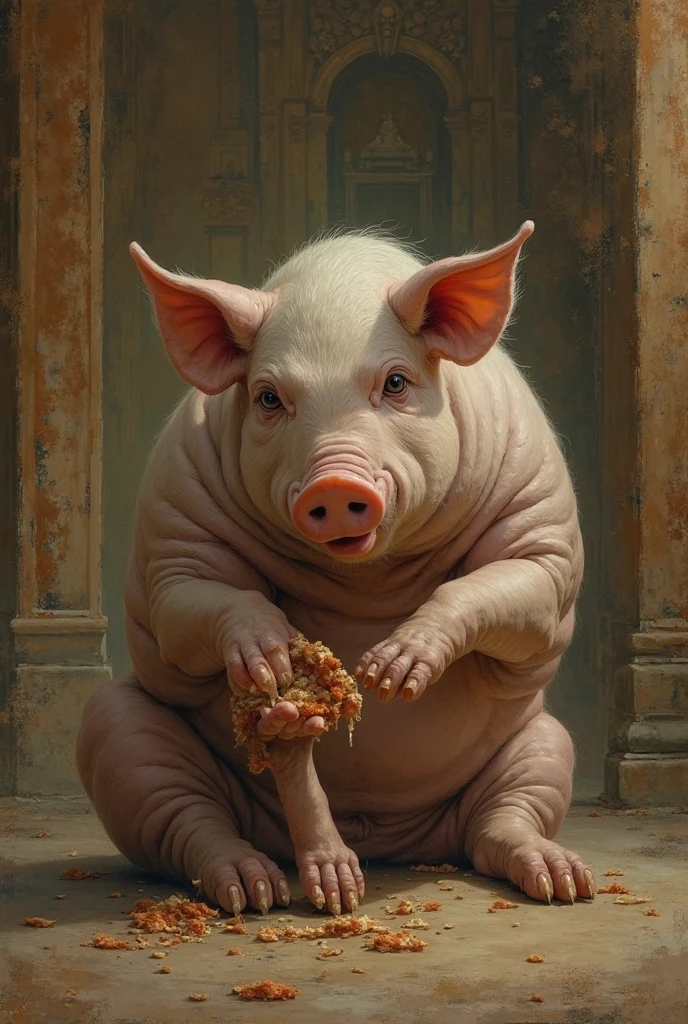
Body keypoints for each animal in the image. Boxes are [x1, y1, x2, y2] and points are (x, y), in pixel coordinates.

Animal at [77, 220, 593, 920]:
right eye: (269, 398)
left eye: (396, 384)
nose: (335, 484)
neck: (367, 578)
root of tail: (391, 843)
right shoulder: (176, 538)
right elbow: (192, 604)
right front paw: (270, 664)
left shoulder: (544, 537)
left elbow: (506, 585)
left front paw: (386, 672)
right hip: (121, 734)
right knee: (188, 818)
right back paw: (264, 871)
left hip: (542, 743)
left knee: (503, 821)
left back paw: (562, 882)